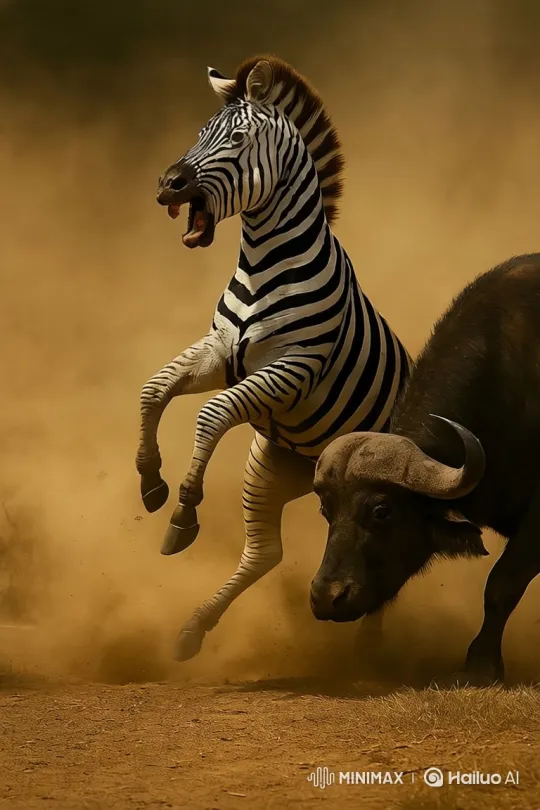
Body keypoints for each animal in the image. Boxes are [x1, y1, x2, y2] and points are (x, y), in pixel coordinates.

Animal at [136, 55, 412, 662]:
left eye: (236, 140)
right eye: (200, 133)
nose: (168, 184)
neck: (267, 263)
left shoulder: (292, 369)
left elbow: (211, 415)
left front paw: (185, 505)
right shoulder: (222, 353)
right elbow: (154, 390)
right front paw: (151, 482)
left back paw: (371, 649)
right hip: (274, 467)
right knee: (265, 553)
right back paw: (194, 630)